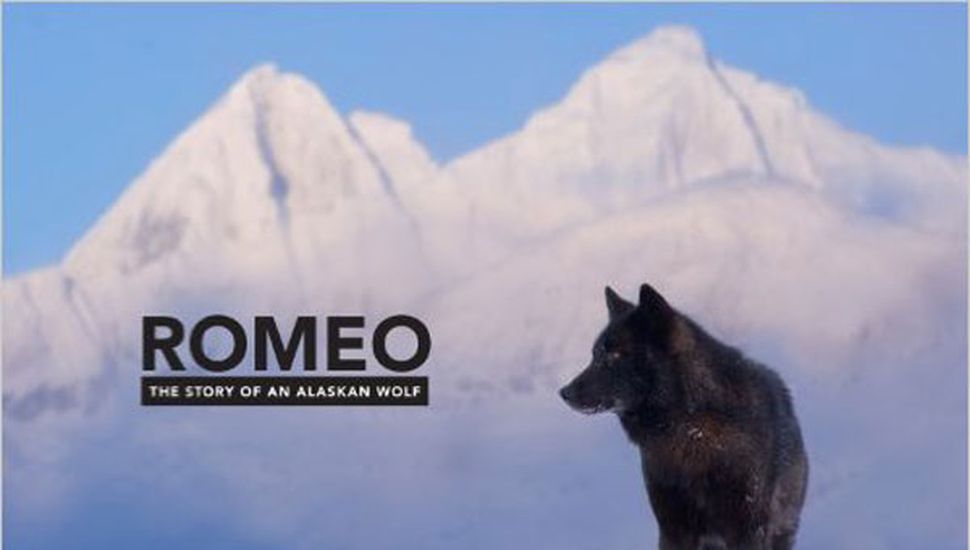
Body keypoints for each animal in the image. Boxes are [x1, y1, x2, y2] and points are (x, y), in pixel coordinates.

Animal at [560, 284, 807, 550]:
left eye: (615, 356)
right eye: (595, 354)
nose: (564, 392)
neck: (690, 429)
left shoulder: (747, 531)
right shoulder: (673, 528)